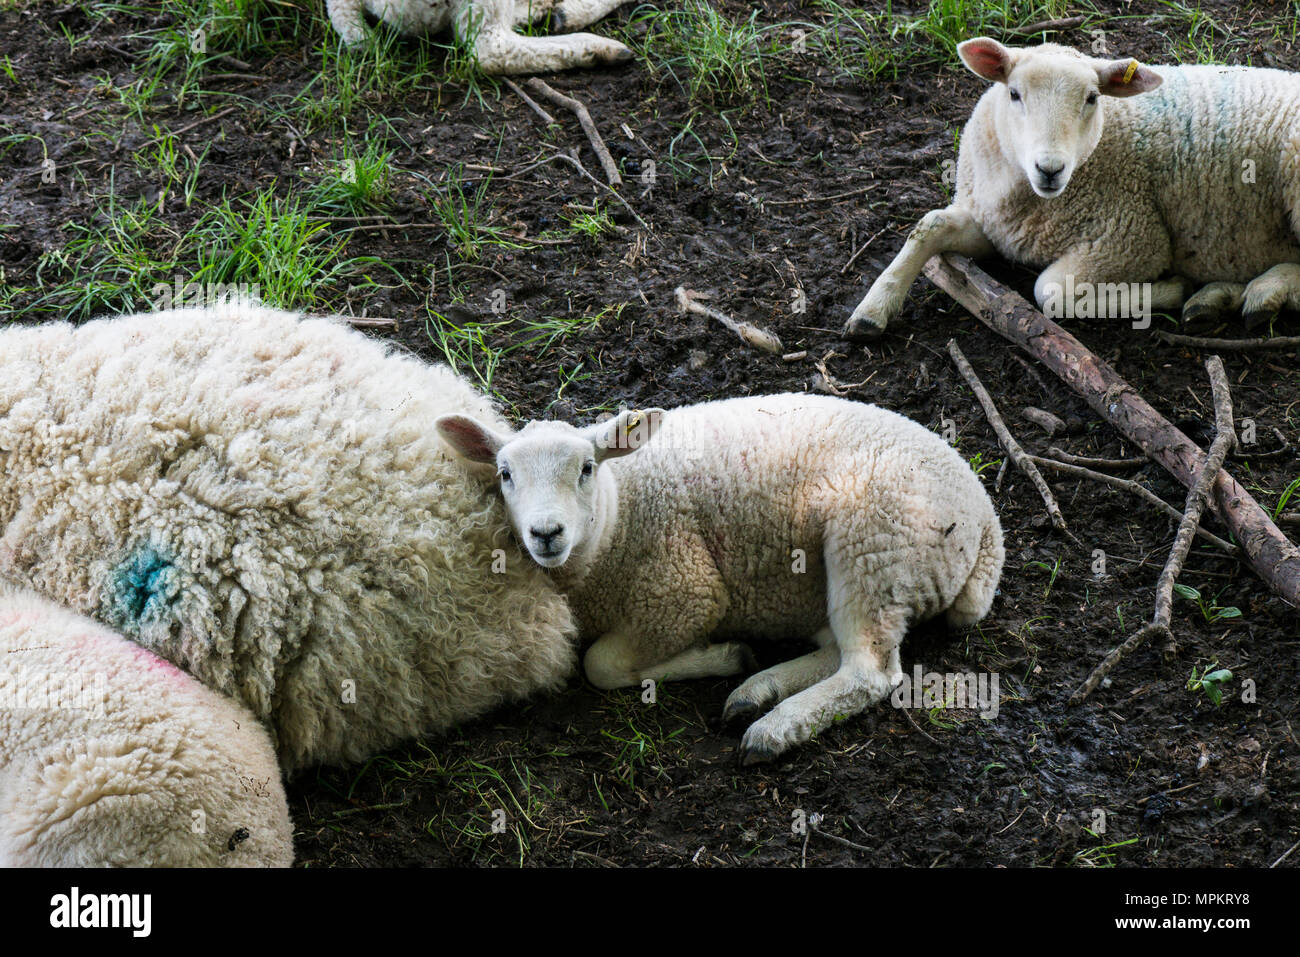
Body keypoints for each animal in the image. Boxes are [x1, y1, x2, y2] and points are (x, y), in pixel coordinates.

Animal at [435, 394, 1005, 764]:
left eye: (587, 469)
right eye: (505, 474)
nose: (546, 533)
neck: (617, 520)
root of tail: (985, 525)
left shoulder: (682, 591)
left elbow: (599, 665)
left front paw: (716, 656)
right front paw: (735, 657)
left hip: (875, 541)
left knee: (870, 672)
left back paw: (775, 728)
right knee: (838, 649)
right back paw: (758, 687)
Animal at [844, 37, 1300, 339]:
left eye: (1092, 98)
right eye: (1014, 93)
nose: (1049, 169)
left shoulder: (1132, 238)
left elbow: (1049, 292)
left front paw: (1168, 289)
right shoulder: (996, 226)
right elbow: (930, 225)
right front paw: (873, 307)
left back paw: (1264, 291)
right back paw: (1221, 296)